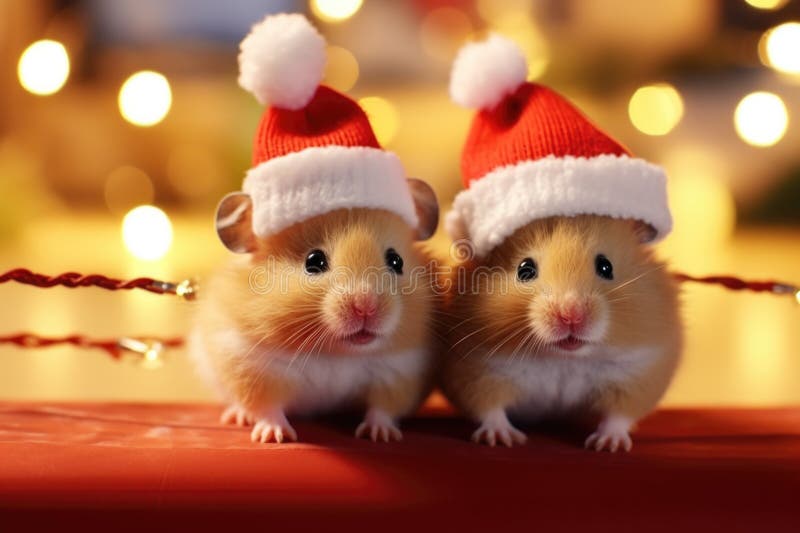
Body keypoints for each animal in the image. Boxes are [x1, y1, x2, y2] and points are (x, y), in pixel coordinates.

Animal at [190, 182, 440, 444]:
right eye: (314, 261)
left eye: (396, 261)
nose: (365, 307)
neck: (334, 354)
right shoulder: (253, 365)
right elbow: (267, 406)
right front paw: (274, 436)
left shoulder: (399, 371)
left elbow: (383, 408)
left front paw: (381, 436)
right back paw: (238, 416)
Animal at [440, 215, 682, 451]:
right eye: (524, 269)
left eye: (606, 267)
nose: (570, 315)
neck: (563, 359)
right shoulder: (479, 370)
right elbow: (490, 408)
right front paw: (502, 439)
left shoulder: (636, 373)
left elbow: (618, 415)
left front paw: (608, 445)